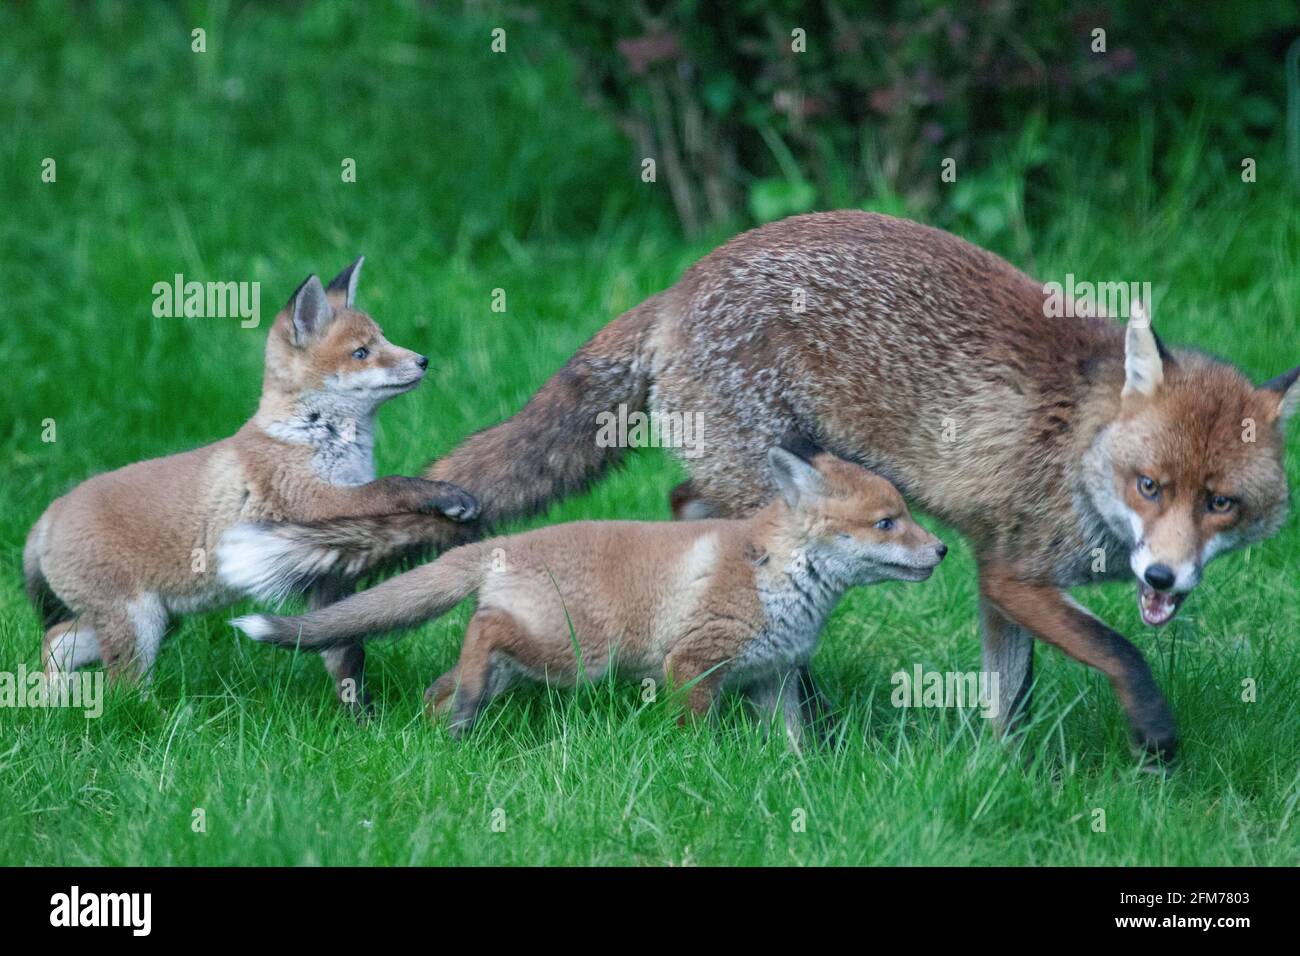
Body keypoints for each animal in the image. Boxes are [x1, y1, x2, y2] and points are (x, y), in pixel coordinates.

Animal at [23, 257, 480, 706]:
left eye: (383, 339)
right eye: (361, 353)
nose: (423, 360)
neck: (314, 434)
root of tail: (52, 511)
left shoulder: (325, 569)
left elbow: (342, 650)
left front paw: (361, 714)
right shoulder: (317, 500)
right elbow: (392, 485)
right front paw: (448, 497)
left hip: (158, 622)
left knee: (55, 639)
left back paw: (53, 703)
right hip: (139, 625)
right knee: (123, 690)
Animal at [223, 445, 947, 744]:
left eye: (905, 514)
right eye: (888, 523)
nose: (940, 551)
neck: (776, 573)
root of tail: (497, 545)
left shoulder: (772, 678)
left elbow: (795, 750)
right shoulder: (691, 664)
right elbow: (694, 737)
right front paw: (696, 767)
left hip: (519, 670)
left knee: (443, 685)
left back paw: (441, 732)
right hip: (574, 657)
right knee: (481, 630)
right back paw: (459, 719)